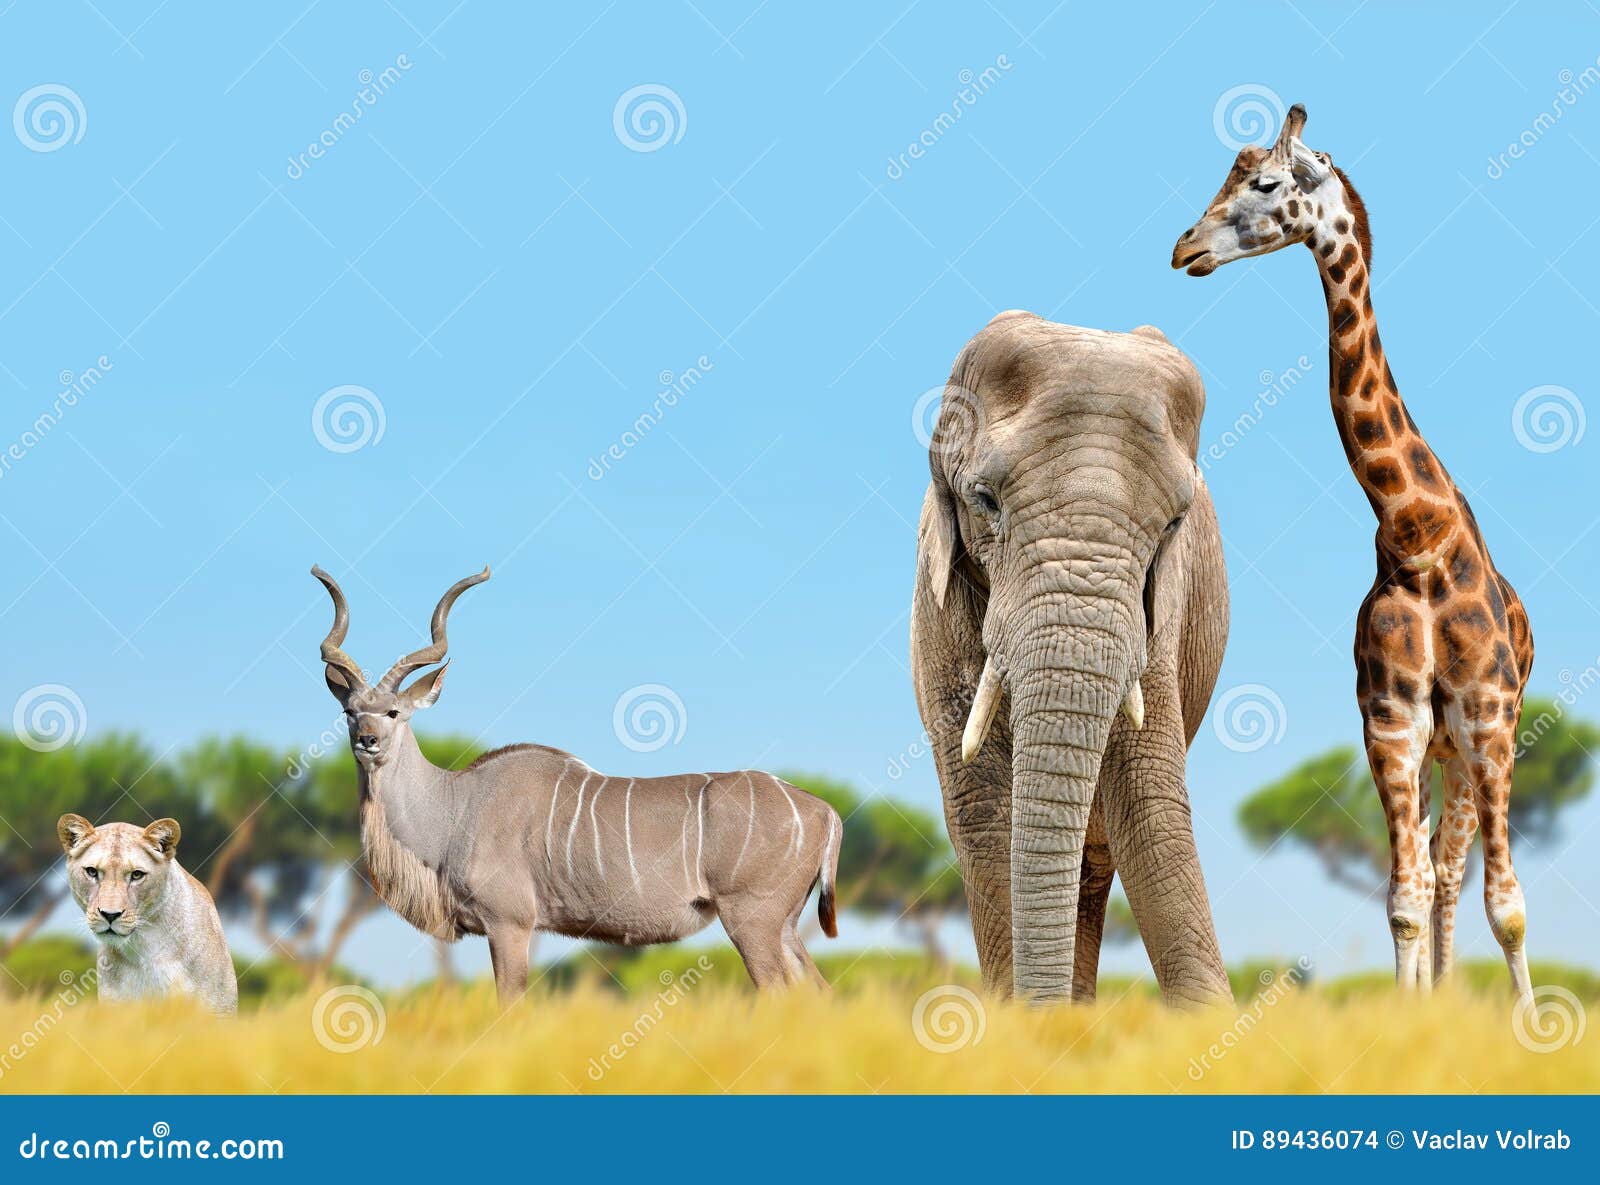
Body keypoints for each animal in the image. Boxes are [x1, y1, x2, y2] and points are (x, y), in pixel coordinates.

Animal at [910, 310, 1233, 1006]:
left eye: (1174, 524)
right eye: (984, 500)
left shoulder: (1159, 611)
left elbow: (1147, 801)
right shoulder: (937, 601)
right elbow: (983, 810)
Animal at [1171, 104, 1534, 1001]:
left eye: (1266, 182)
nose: (1185, 247)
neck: (1416, 533)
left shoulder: (1489, 716)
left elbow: (1508, 906)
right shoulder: (1392, 724)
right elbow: (1401, 899)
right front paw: (1412, 1013)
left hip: (1471, 749)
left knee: (1458, 872)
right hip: (1438, 751)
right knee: (1435, 872)